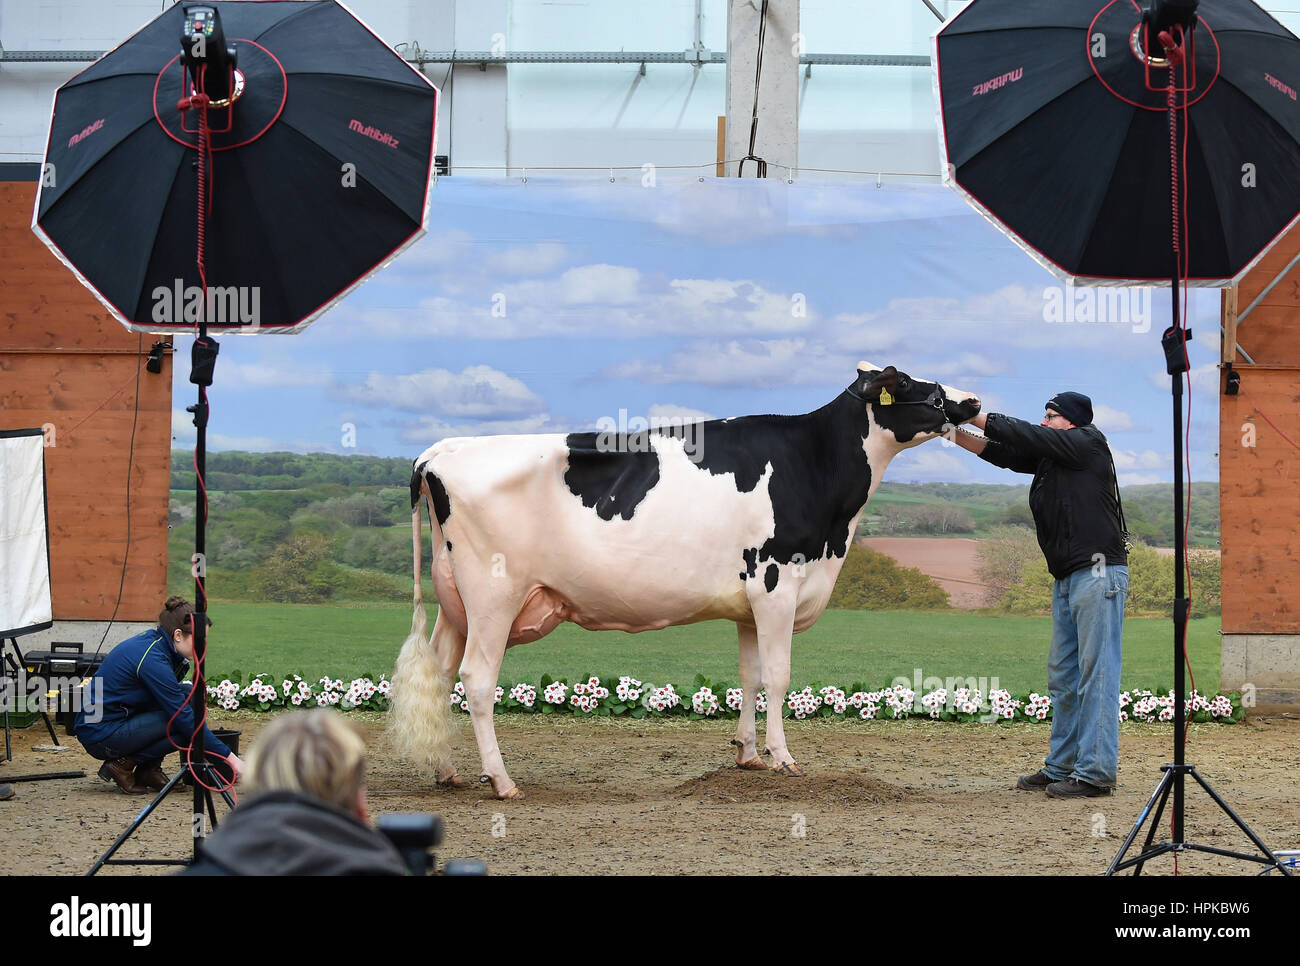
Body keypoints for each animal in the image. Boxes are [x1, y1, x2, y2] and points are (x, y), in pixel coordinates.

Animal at [388, 362, 981, 798]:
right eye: (912, 386)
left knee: (440, 672)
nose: (973, 401)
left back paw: (447, 771)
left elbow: (749, 676)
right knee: (476, 678)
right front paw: (784, 759)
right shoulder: (777, 583)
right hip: (494, 597)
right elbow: (779, 677)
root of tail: (442, 449)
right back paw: (502, 781)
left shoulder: (749, 601)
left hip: (455, 601)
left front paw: (748, 756)